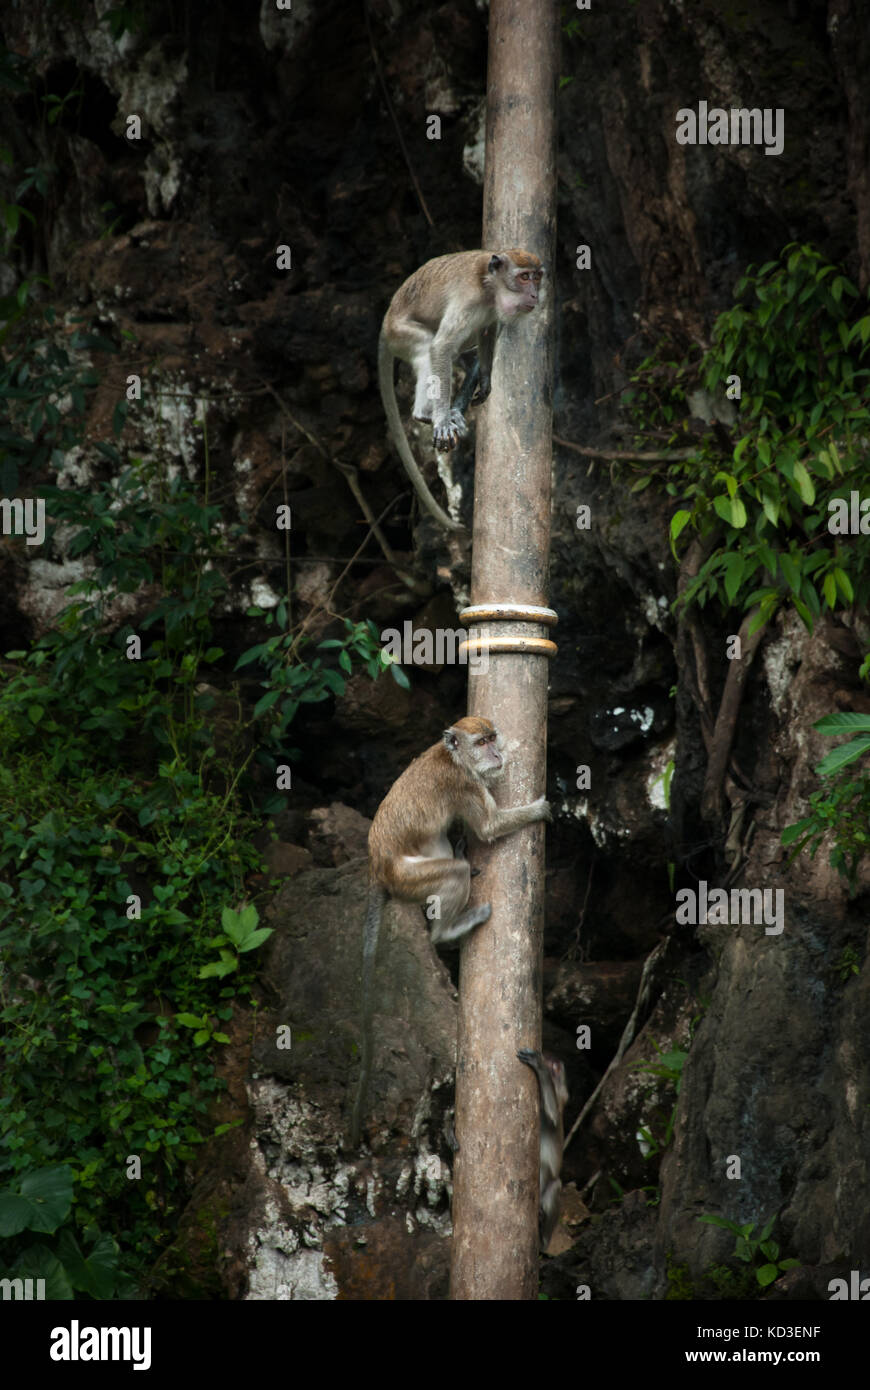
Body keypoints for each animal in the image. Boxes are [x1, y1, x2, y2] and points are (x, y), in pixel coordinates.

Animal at [349, 715, 551, 1147]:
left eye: (493, 738)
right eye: (483, 742)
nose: (497, 754)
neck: (455, 760)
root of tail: (377, 868)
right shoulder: (464, 786)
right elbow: (490, 826)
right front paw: (540, 808)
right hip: (410, 878)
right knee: (451, 876)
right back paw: (446, 931)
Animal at [378, 249, 544, 531]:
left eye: (537, 277)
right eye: (524, 277)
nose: (535, 294)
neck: (489, 287)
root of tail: (387, 319)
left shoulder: (489, 311)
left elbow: (488, 330)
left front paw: (485, 380)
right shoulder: (467, 300)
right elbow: (441, 347)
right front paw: (443, 420)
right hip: (400, 334)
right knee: (428, 346)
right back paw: (428, 414)